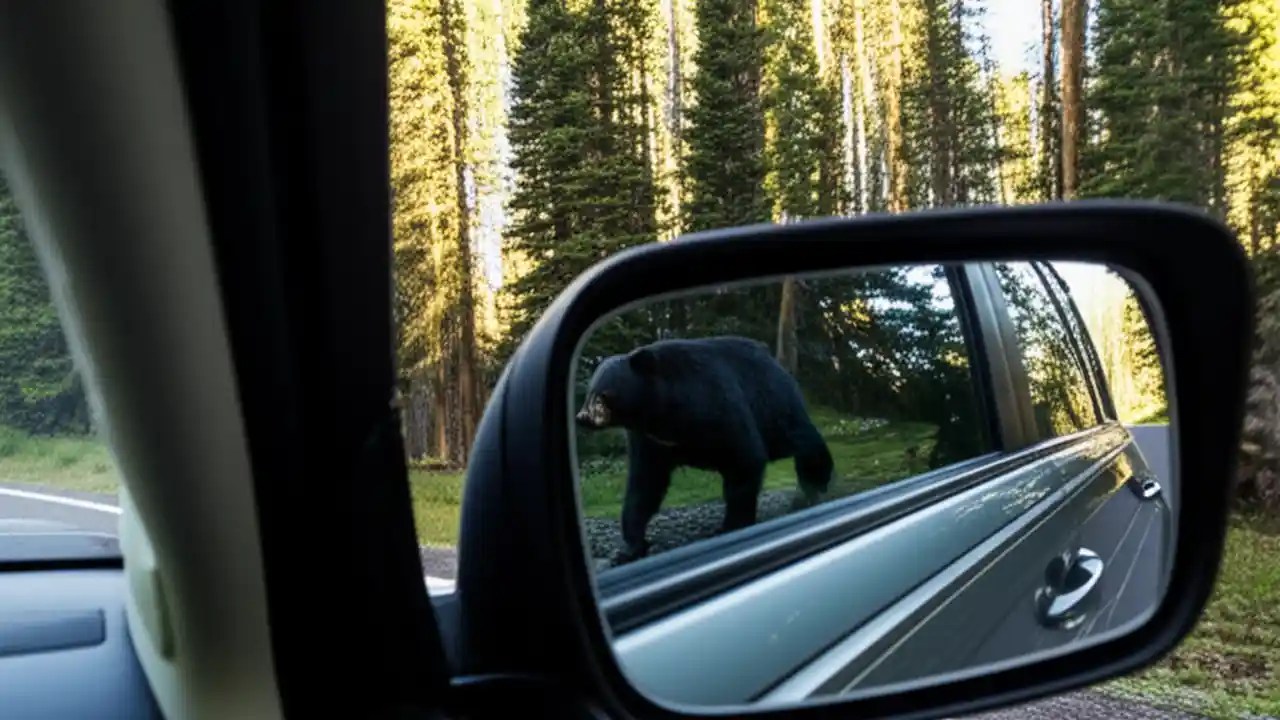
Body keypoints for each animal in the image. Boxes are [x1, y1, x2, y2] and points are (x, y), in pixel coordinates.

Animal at [575, 335, 834, 565]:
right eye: (589, 392)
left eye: (603, 396)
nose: (582, 417)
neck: (661, 412)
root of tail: (770, 356)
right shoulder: (650, 440)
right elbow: (645, 483)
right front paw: (630, 547)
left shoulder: (714, 405)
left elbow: (744, 458)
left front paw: (732, 524)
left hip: (773, 404)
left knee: (803, 440)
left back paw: (817, 481)